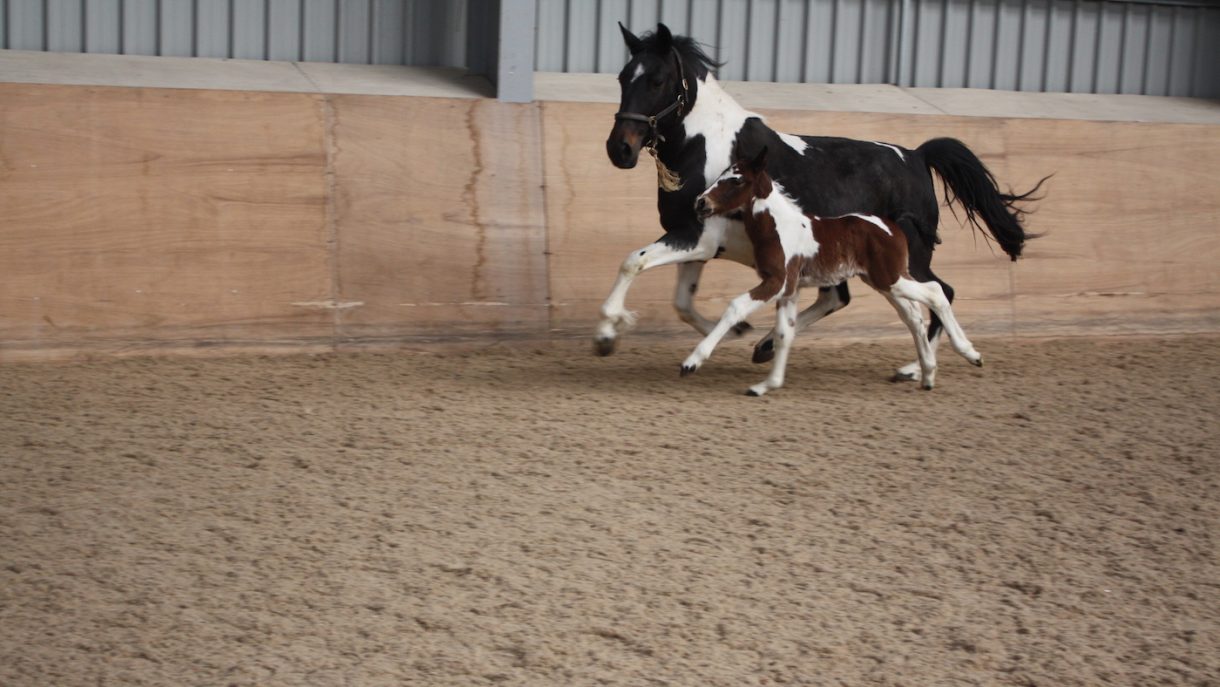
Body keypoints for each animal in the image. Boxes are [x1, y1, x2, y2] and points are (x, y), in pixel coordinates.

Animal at [686, 148, 983, 395]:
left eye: (736, 179)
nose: (701, 203)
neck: (780, 227)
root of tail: (893, 224)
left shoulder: (777, 282)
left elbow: (735, 307)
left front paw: (692, 362)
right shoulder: (789, 290)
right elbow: (784, 334)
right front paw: (766, 385)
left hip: (892, 279)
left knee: (936, 293)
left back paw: (969, 354)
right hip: (885, 282)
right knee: (914, 317)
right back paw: (927, 374)